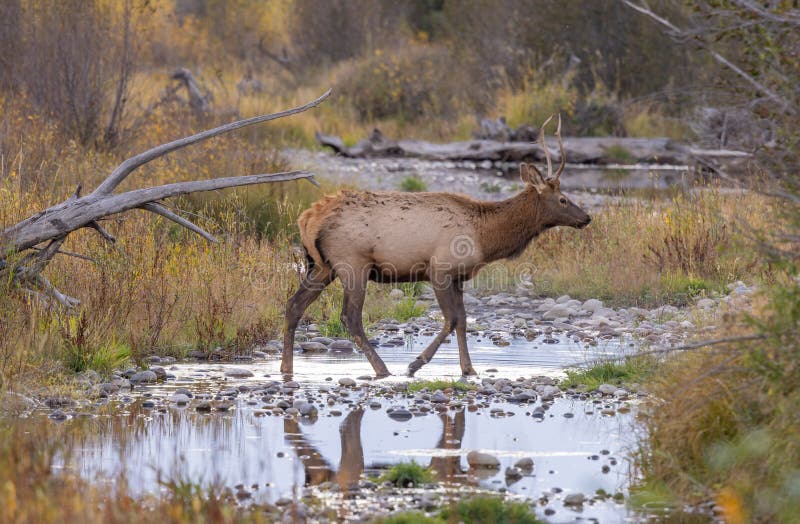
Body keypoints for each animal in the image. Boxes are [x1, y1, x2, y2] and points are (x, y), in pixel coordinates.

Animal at [282, 115, 591, 379]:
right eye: (563, 199)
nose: (586, 217)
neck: (485, 237)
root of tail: (307, 218)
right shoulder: (439, 269)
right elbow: (451, 319)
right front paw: (415, 364)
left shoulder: (459, 277)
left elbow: (464, 320)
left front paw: (469, 369)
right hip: (353, 263)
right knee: (350, 317)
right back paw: (383, 369)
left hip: (322, 265)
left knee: (294, 305)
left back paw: (287, 367)